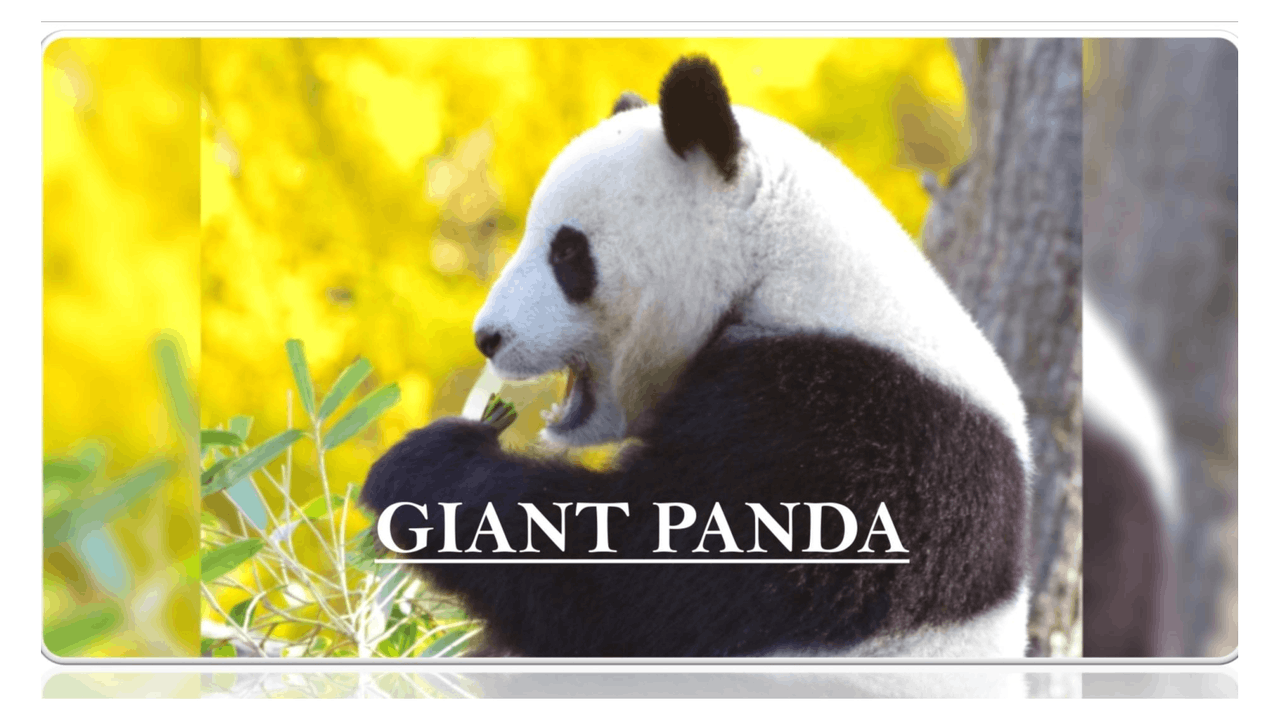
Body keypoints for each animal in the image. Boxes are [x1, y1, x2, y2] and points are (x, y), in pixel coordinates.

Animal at [361, 55, 1033, 658]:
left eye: (568, 253)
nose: (489, 337)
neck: (779, 269)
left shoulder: (847, 429)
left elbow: (639, 578)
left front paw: (422, 470)